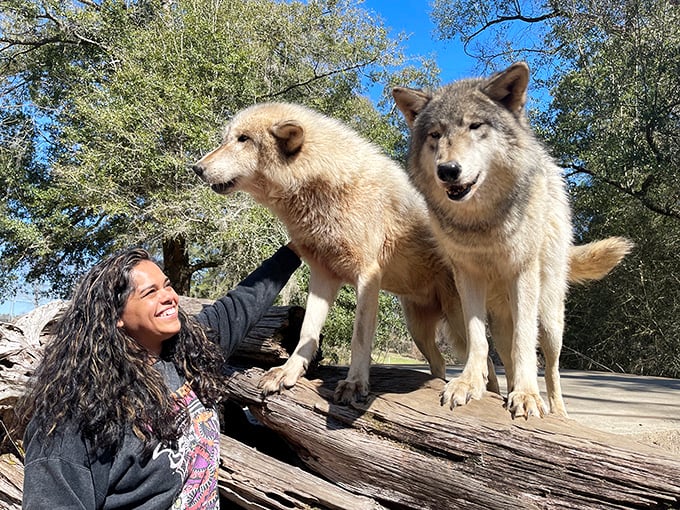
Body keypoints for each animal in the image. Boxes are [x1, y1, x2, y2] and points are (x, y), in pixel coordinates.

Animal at [192, 101, 630, 411]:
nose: (196, 167)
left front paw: (354, 385)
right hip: (428, 331)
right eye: (227, 137)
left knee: (541, 369)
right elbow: (306, 335)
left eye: (242, 140)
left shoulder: (367, 276)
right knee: (472, 364)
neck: (322, 187)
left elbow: (360, 339)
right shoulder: (324, 276)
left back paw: (548, 409)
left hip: (529, 320)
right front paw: (286, 373)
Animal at [393, 62, 632, 417]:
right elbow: (479, 341)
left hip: (549, 320)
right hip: (441, 327)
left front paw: (527, 396)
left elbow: (525, 346)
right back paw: (491, 389)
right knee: (488, 359)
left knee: (550, 367)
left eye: (475, 126)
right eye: (435, 134)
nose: (447, 170)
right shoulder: (468, 278)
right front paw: (467, 385)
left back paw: (558, 412)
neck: (482, 226)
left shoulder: (522, 275)